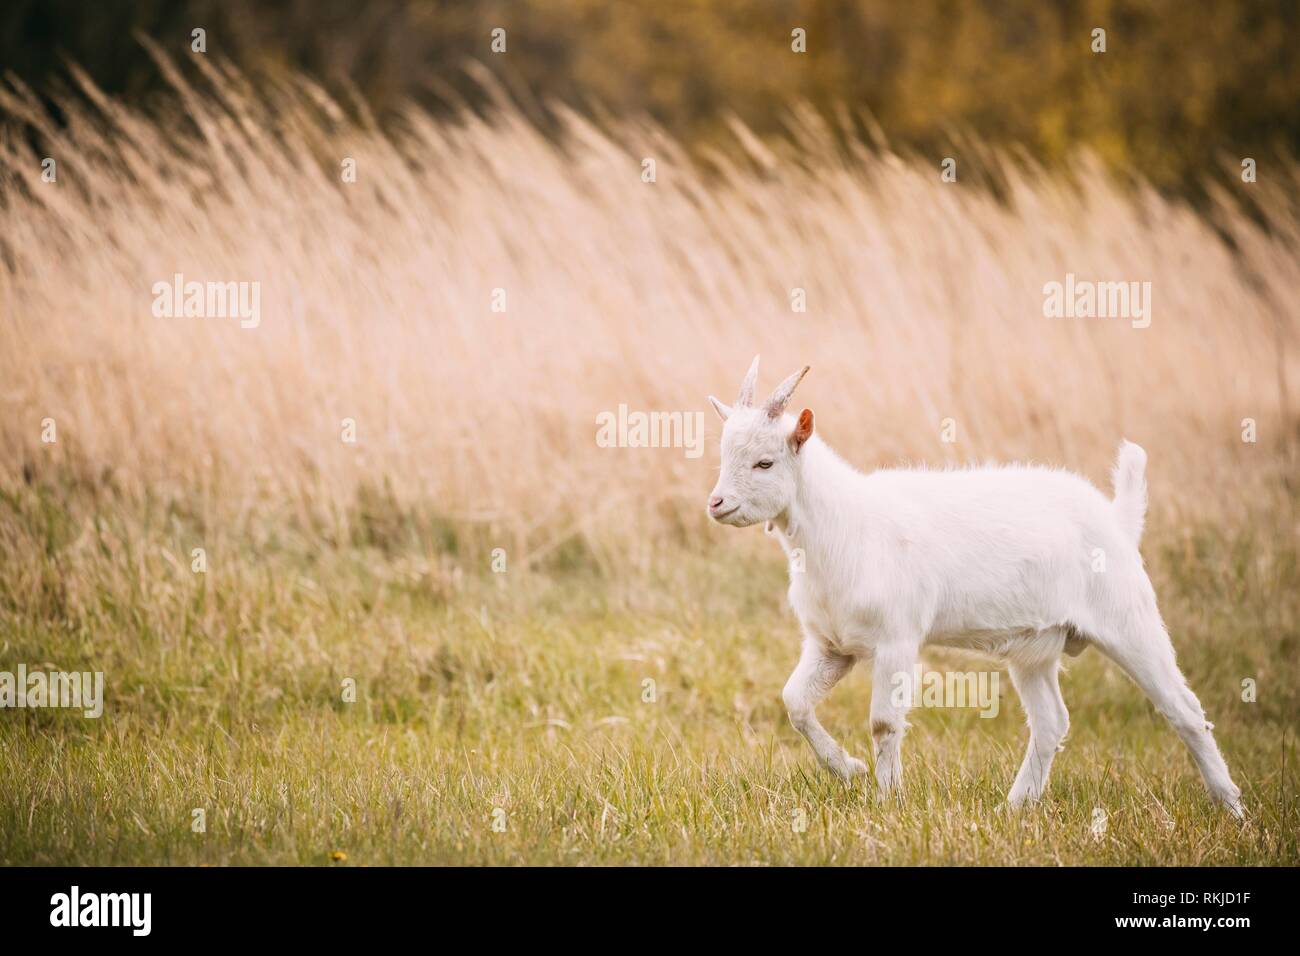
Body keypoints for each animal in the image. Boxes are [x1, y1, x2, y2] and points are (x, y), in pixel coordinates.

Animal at [706, 356, 1243, 816]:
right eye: (725, 454)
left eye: (764, 463)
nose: (716, 503)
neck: (842, 525)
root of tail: (1117, 519)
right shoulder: (831, 645)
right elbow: (794, 702)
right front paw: (849, 769)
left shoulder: (897, 638)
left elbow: (883, 722)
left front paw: (887, 801)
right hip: (1036, 648)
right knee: (1051, 721)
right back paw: (1015, 806)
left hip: (1128, 619)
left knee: (1183, 709)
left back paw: (1233, 810)